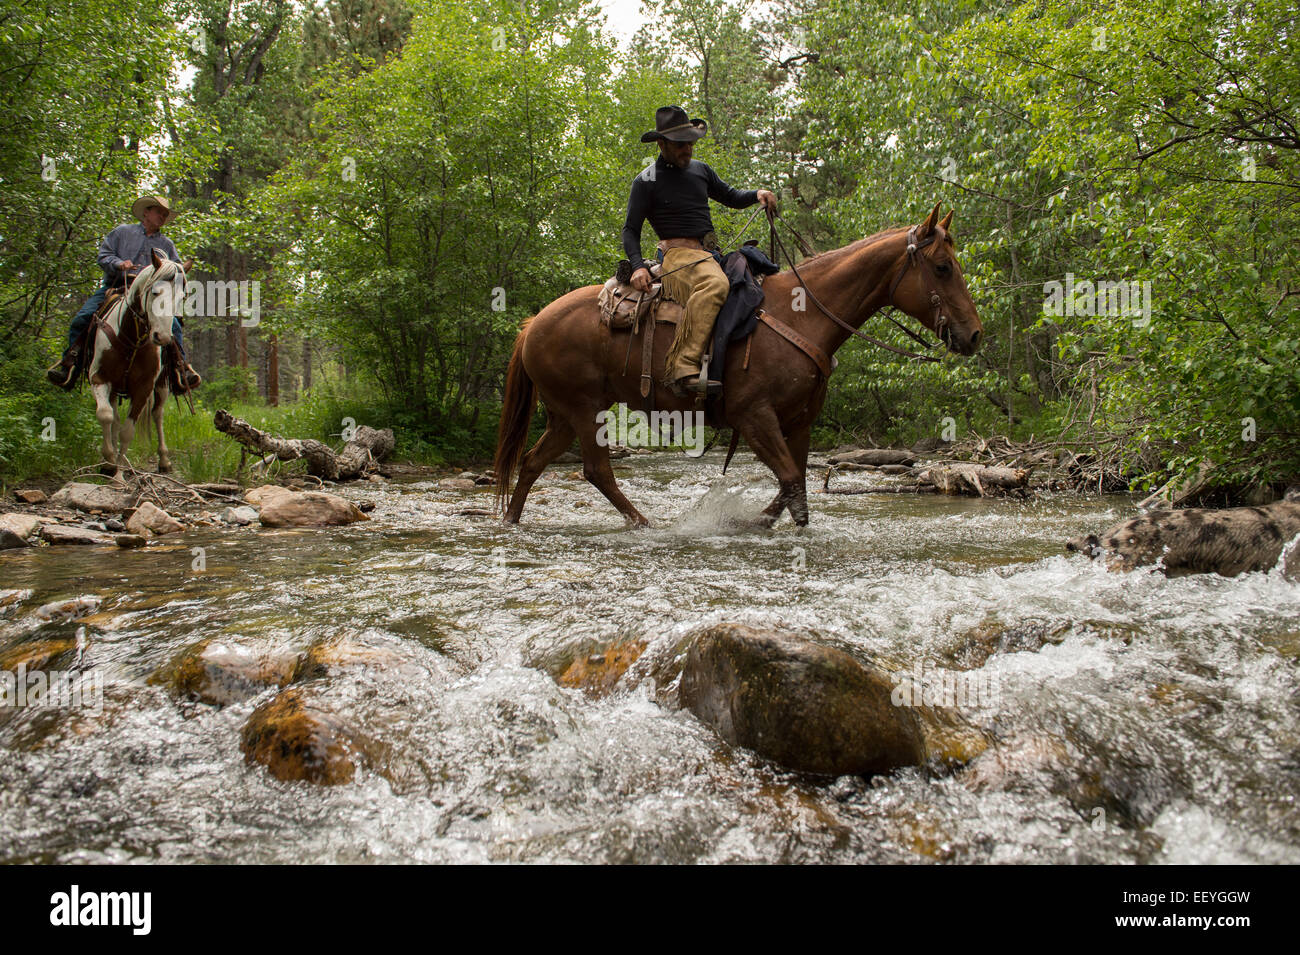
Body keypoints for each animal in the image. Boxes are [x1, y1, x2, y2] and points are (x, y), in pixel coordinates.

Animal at [86, 248, 189, 478]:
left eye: (182, 297)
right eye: (155, 292)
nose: (162, 337)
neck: (131, 340)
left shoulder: (144, 388)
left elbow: (127, 431)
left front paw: (119, 474)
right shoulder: (99, 378)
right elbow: (105, 416)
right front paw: (109, 462)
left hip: (161, 386)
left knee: (157, 415)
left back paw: (164, 461)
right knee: (114, 417)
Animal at [494, 203, 983, 527]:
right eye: (943, 267)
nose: (975, 335)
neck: (801, 315)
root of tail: (533, 323)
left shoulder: (798, 421)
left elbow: (793, 486)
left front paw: (760, 522)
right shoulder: (754, 417)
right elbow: (792, 483)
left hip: (564, 415)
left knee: (533, 462)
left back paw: (512, 522)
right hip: (584, 409)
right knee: (596, 470)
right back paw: (643, 524)